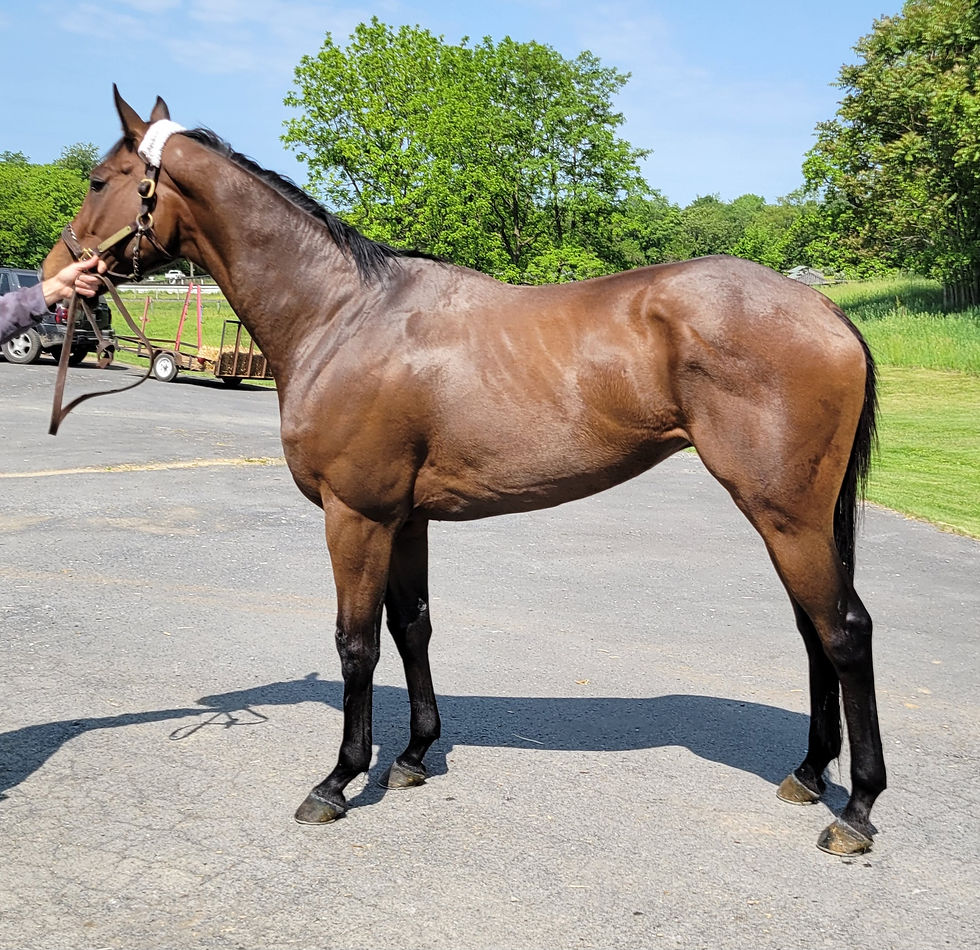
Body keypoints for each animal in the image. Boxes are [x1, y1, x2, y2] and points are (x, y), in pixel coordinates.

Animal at [43, 88, 886, 855]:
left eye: (97, 179)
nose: (55, 276)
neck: (342, 315)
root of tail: (825, 310)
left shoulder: (356, 515)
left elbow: (356, 643)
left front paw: (338, 779)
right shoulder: (405, 517)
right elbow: (412, 626)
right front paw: (415, 754)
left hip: (784, 513)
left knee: (843, 632)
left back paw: (856, 810)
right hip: (798, 518)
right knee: (814, 630)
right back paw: (809, 774)